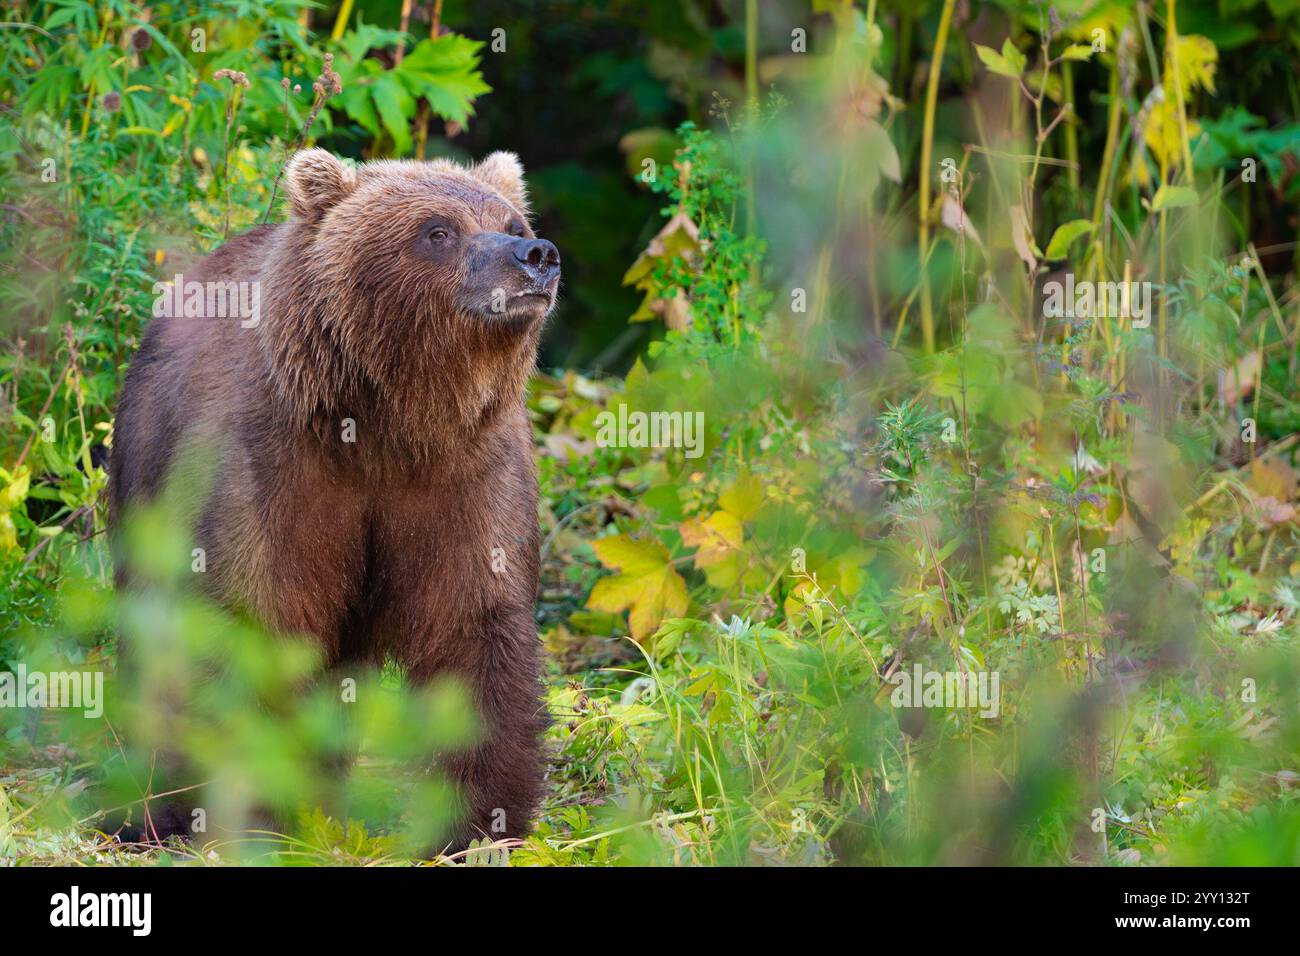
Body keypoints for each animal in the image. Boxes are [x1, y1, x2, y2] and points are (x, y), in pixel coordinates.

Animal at [108, 148, 560, 851]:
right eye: (438, 230)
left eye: (511, 221)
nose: (535, 254)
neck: (383, 426)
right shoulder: (271, 464)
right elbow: (254, 621)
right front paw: (258, 813)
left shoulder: (465, 473)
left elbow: (472, 622)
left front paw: (479, 822)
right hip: (146, 472)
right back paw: (152, 808)